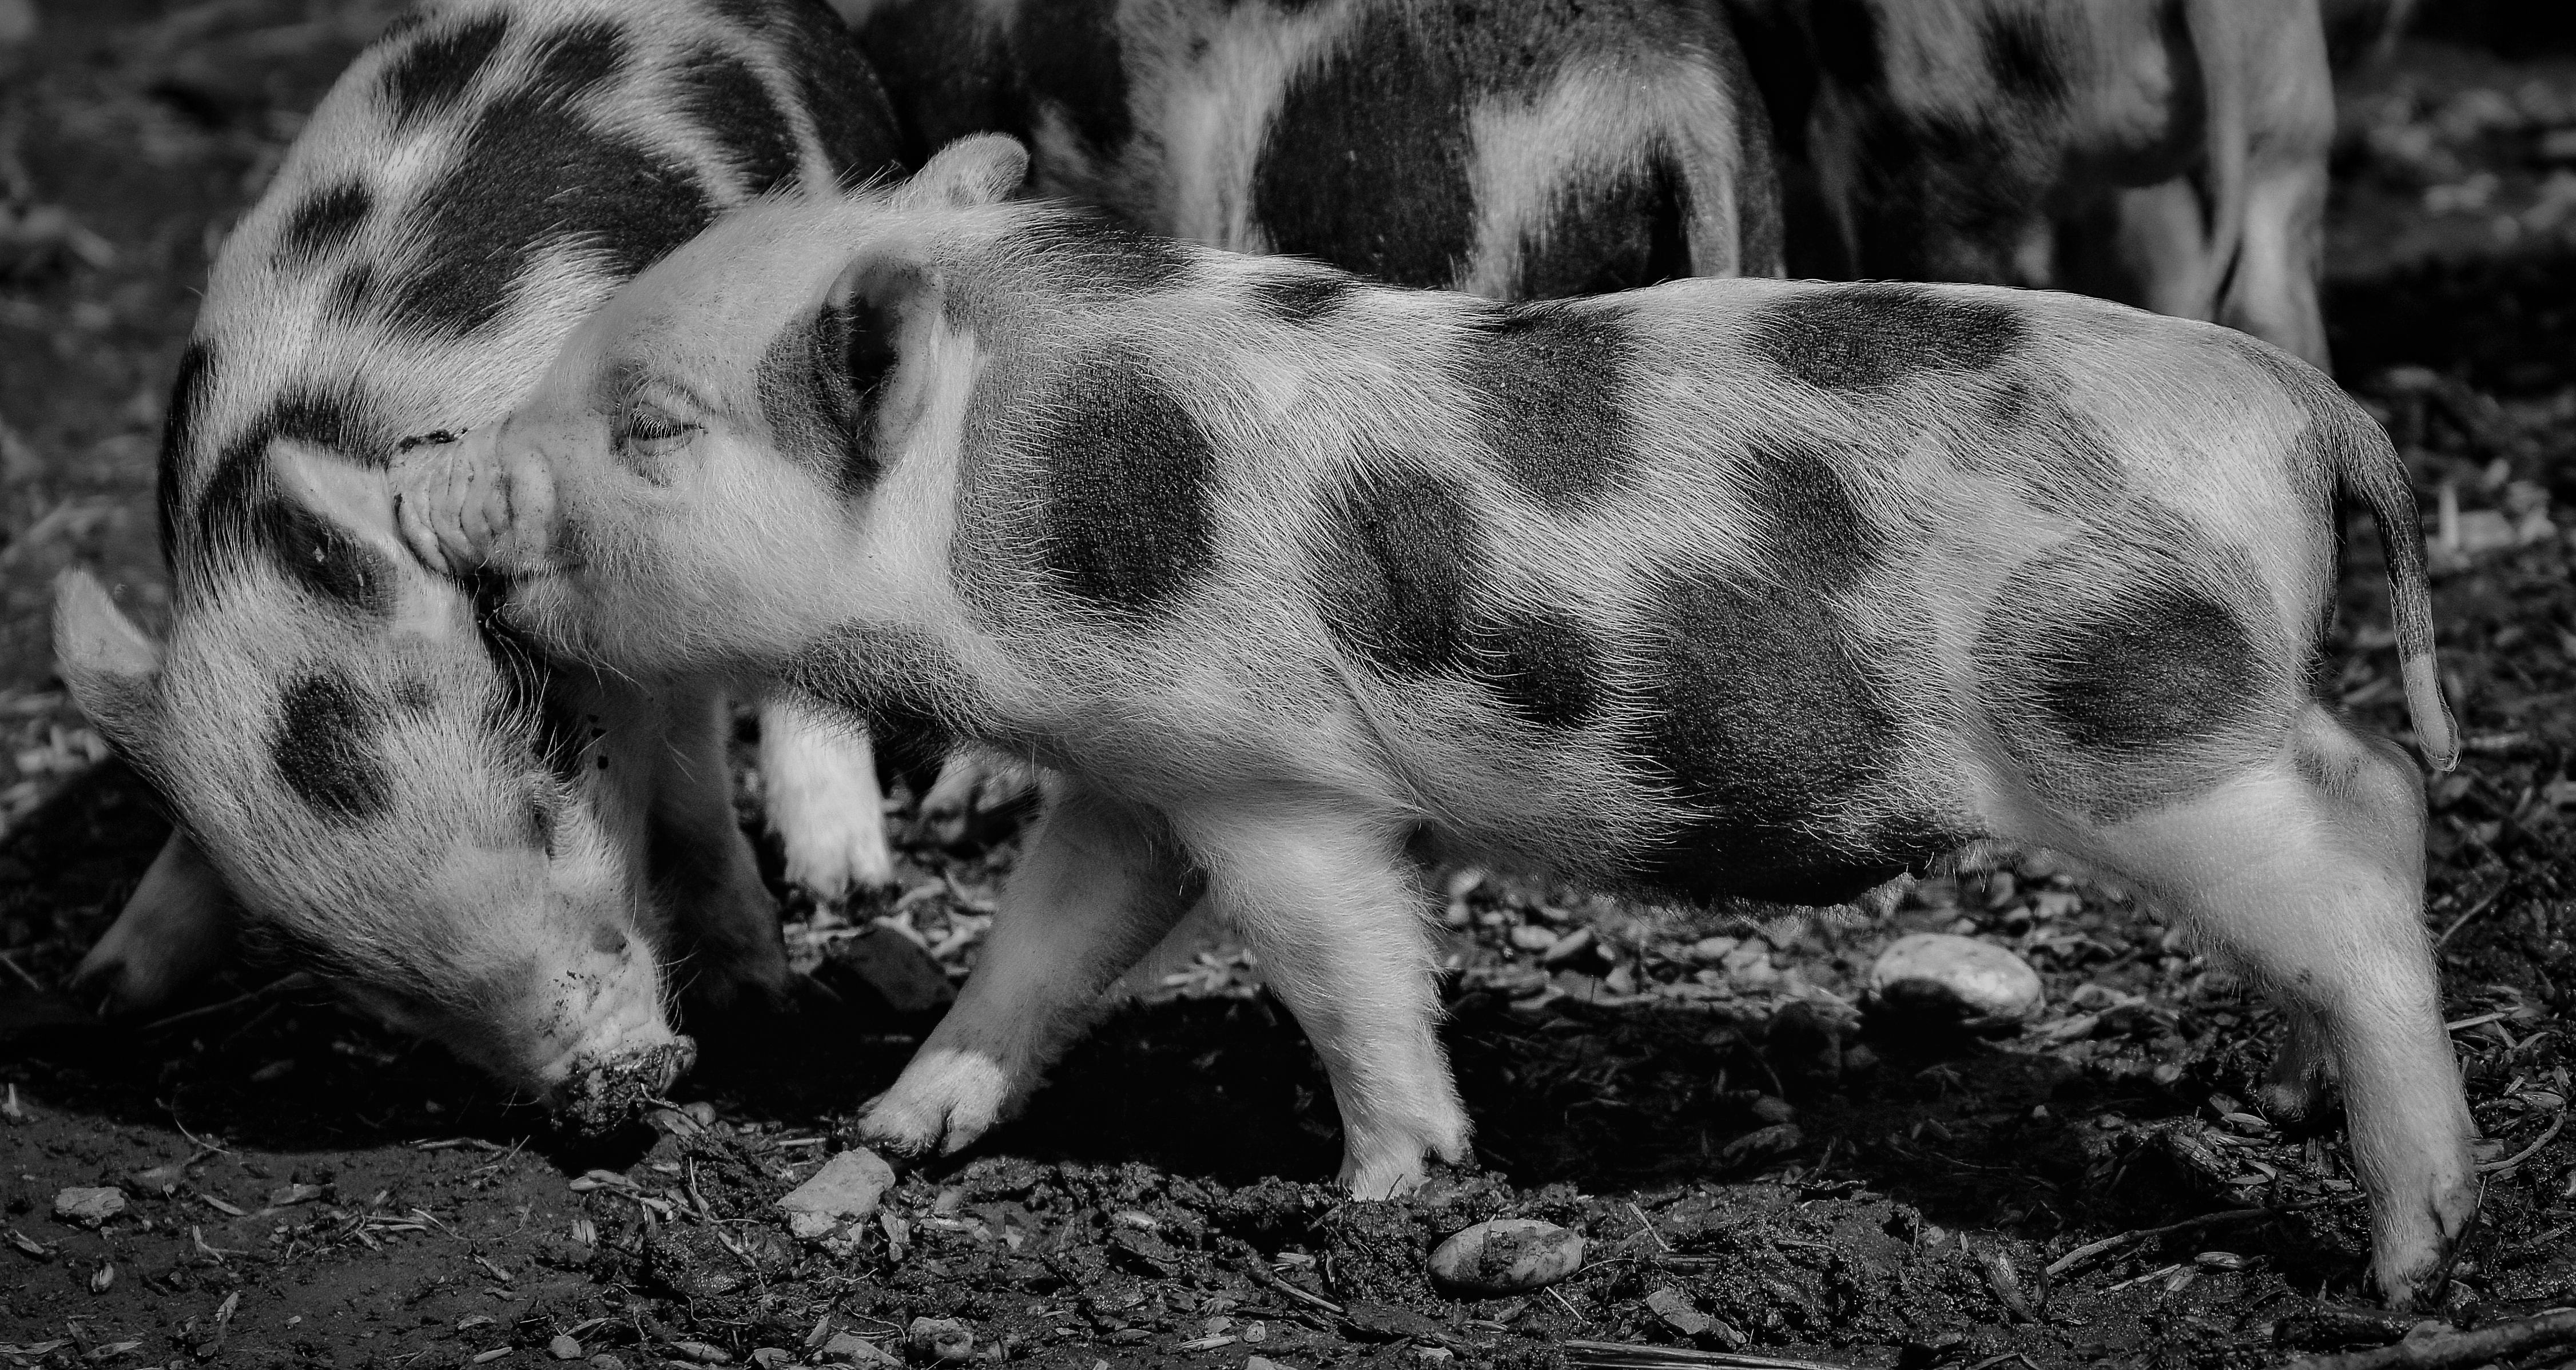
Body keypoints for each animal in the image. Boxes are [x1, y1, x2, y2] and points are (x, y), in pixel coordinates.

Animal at [51, 0, 904, 1126]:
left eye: (542, 809)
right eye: (377, 984)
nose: (616, 1070)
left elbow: (689, 788)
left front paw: (762, 991)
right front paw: (99, 994)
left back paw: (848, 879)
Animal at [390, 136, 2472, 1305]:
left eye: (653, 426)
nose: (424, 473)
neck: (1014, 504)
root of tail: (2309, 406)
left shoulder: (1274, 779)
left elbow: (1350, 973)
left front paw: (1381, 1191)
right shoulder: (1140, 773)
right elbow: (1033, 955)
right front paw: (896, 1121)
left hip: (2142, 717)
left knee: (2363, 836)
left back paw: (2409, 1253)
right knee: (2374, 794)